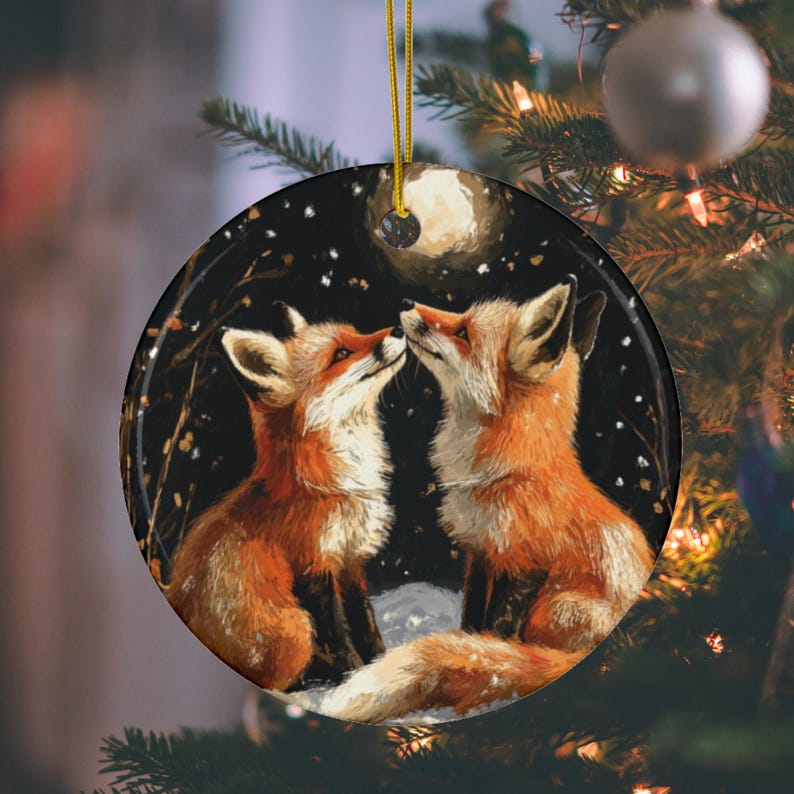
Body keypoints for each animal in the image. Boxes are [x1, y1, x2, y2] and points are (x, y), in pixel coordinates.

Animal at [167, 302, 406, 692]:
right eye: (341, 354)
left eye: (356, 332)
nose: (399, 328)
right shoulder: (313, 566)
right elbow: (339, 637)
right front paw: (352, 676)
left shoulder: (350, 561)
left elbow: (366, 626)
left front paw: (380, 666)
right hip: (296, 628)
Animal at [318, 277, 656, 722]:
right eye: (462, 318)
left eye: (463, 332)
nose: (406, 302)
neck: (507, 475)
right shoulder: (480, 550)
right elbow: (473, 621)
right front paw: (470, 650)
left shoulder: (524, 563)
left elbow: (496, 631)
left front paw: (486, 661)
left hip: (558, 605)